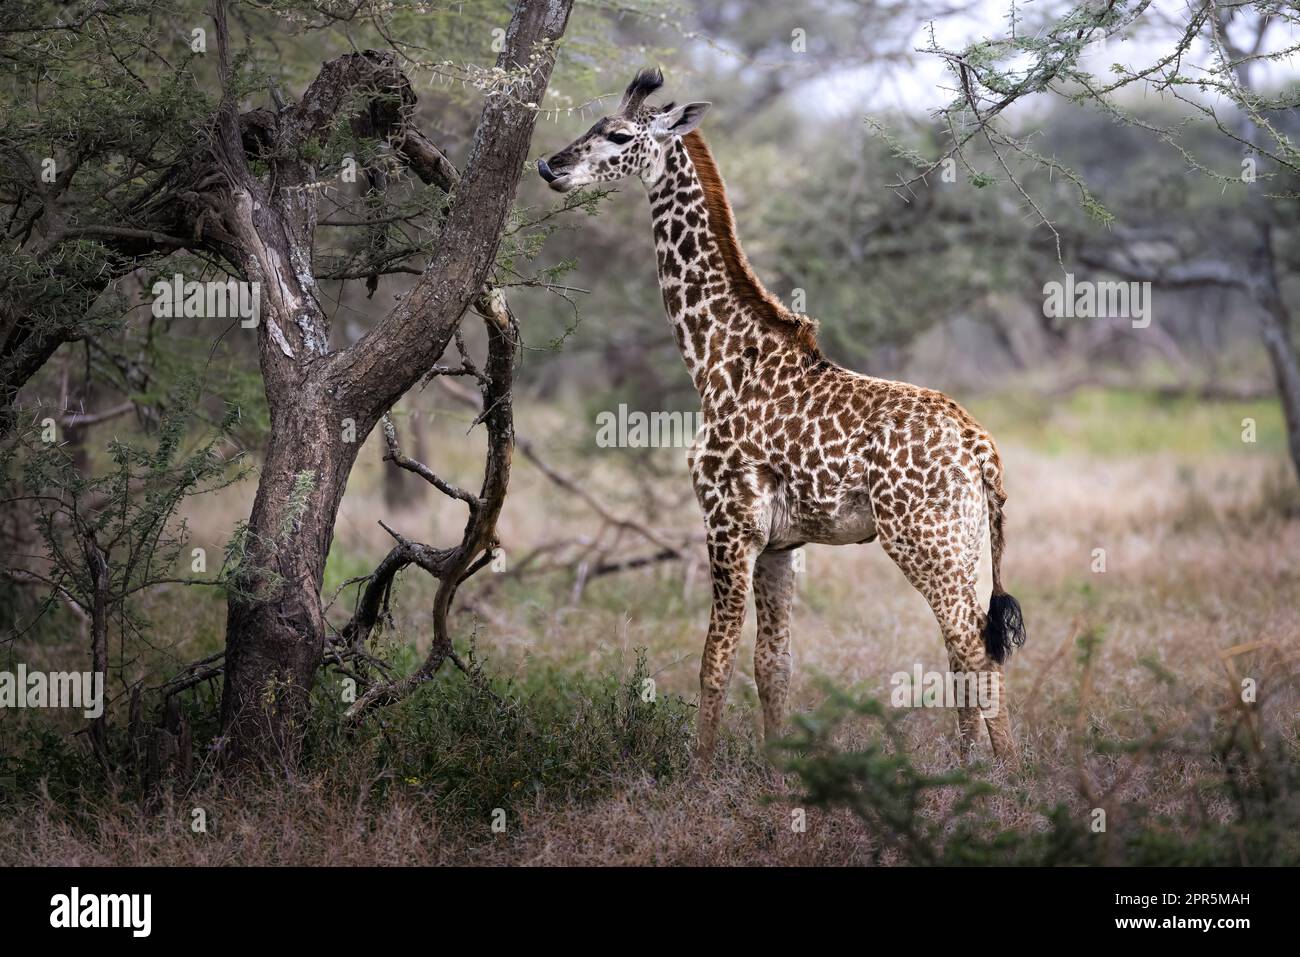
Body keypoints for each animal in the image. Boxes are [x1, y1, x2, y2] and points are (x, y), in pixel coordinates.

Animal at [538, 68, 1027, 770]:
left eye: (620, 135)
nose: (550, 166)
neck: (716, 359)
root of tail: (978, 443)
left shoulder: (727, 525)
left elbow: (713, 662)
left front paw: (700, 773)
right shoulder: (780, 544)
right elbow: (773, 665)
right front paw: (775, 772)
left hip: (920, 537)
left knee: (974, 650)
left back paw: (1004, 779)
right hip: (962, 540)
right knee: (963, 648)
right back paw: (965, 769)